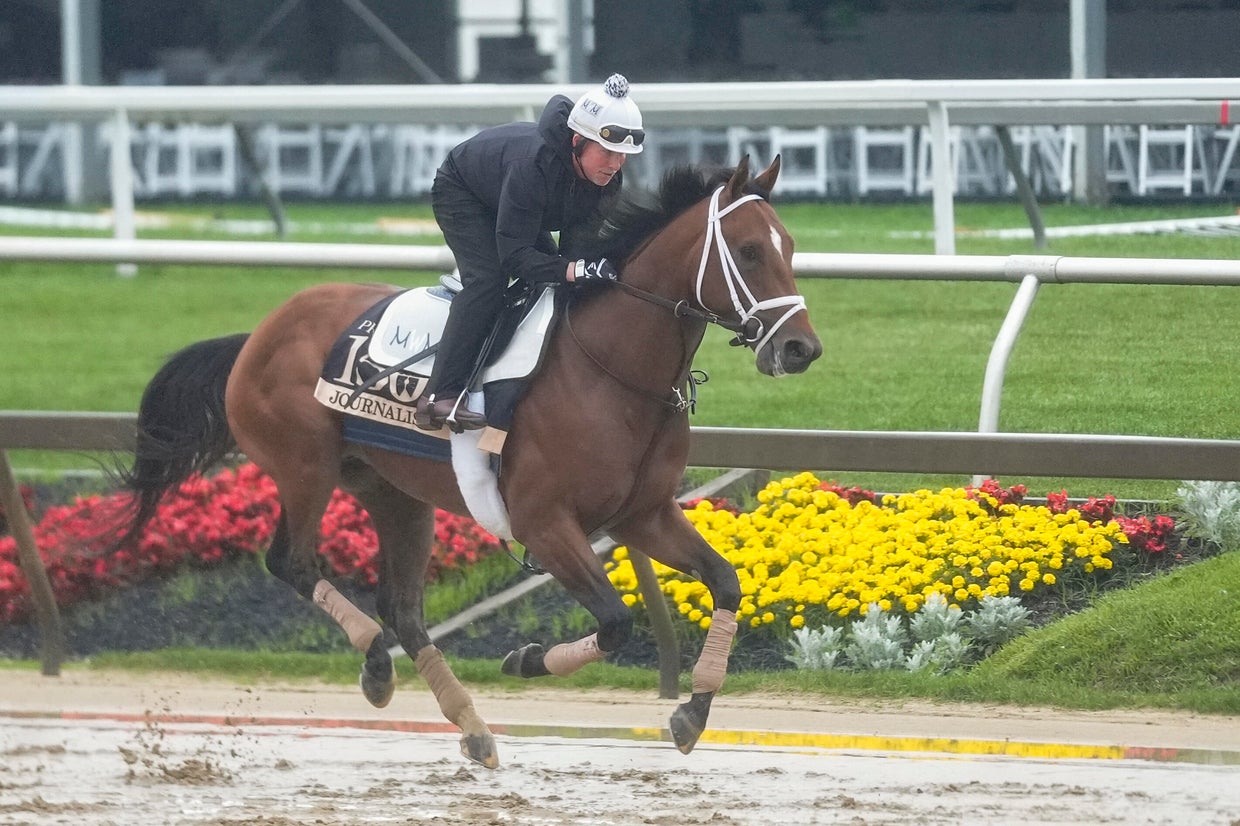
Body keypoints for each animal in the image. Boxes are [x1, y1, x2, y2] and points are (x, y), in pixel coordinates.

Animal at [117, 155, 822, 768]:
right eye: (750, 251)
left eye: (789, 247)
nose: (800, 348)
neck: (612, 371)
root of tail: (256, 337)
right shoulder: (545, 523)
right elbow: (618, 621)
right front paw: (526, 659)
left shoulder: (642, 515)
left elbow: (725, 582)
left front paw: (692, 712)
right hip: (305, 467)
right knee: (293, 562)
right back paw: (378, 665)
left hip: (393, 492)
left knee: (401, 607)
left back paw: (469, 724)